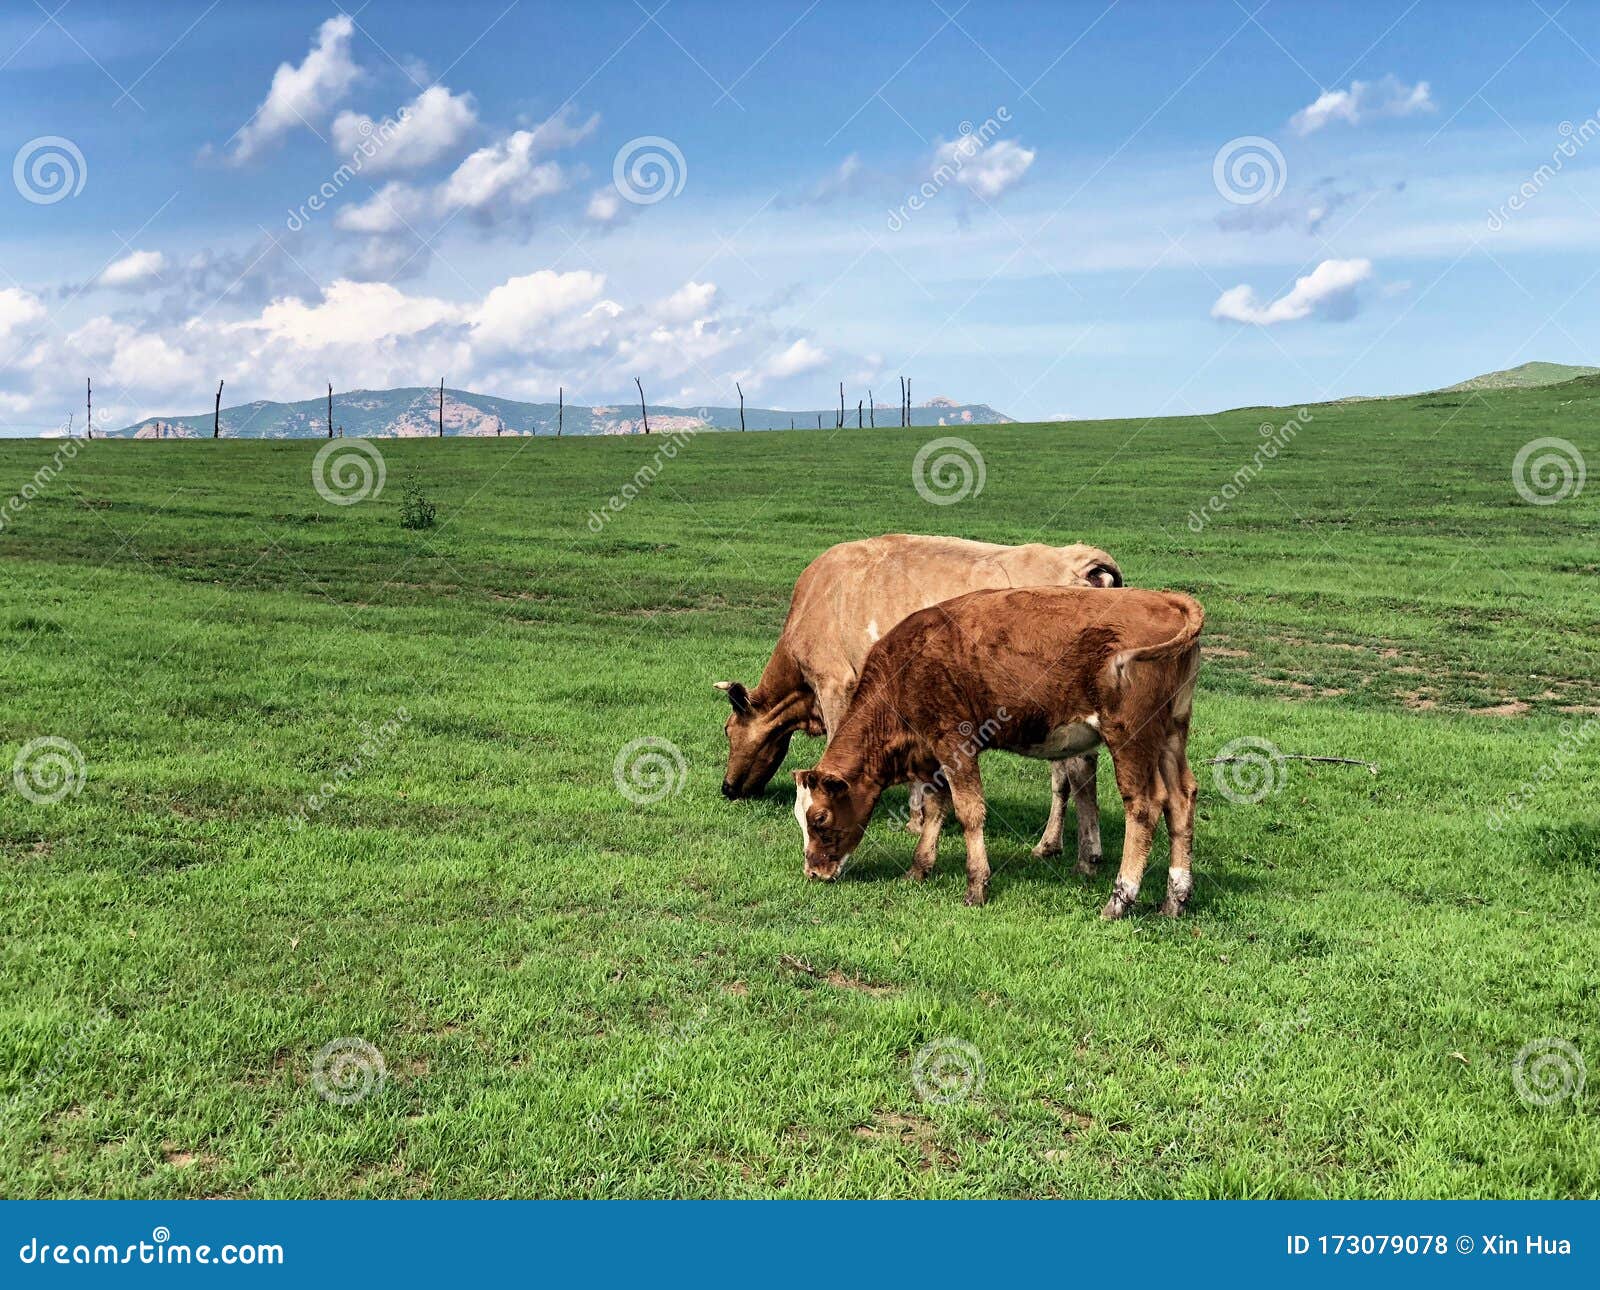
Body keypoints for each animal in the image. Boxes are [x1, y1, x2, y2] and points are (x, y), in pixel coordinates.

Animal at [715, 534, 1123, 868]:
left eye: (728, 730)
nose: (727, 789)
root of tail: (1082, 559)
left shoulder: (834, 682)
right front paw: (918, 817)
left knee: (1074, 772)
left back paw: (1069, 848)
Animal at [789, 586, 1203, 919]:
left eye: (820, 818)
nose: (813, 872)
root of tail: (1164, 599)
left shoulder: (954, 740)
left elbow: (969, 813)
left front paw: (976, 886)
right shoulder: (932, 754)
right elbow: (936, 808)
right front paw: (919, 869)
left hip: (1131, 737)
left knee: (1144, 806)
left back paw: (1119, 901)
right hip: (1172, 732)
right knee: (1181, 799)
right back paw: (1174, 900)